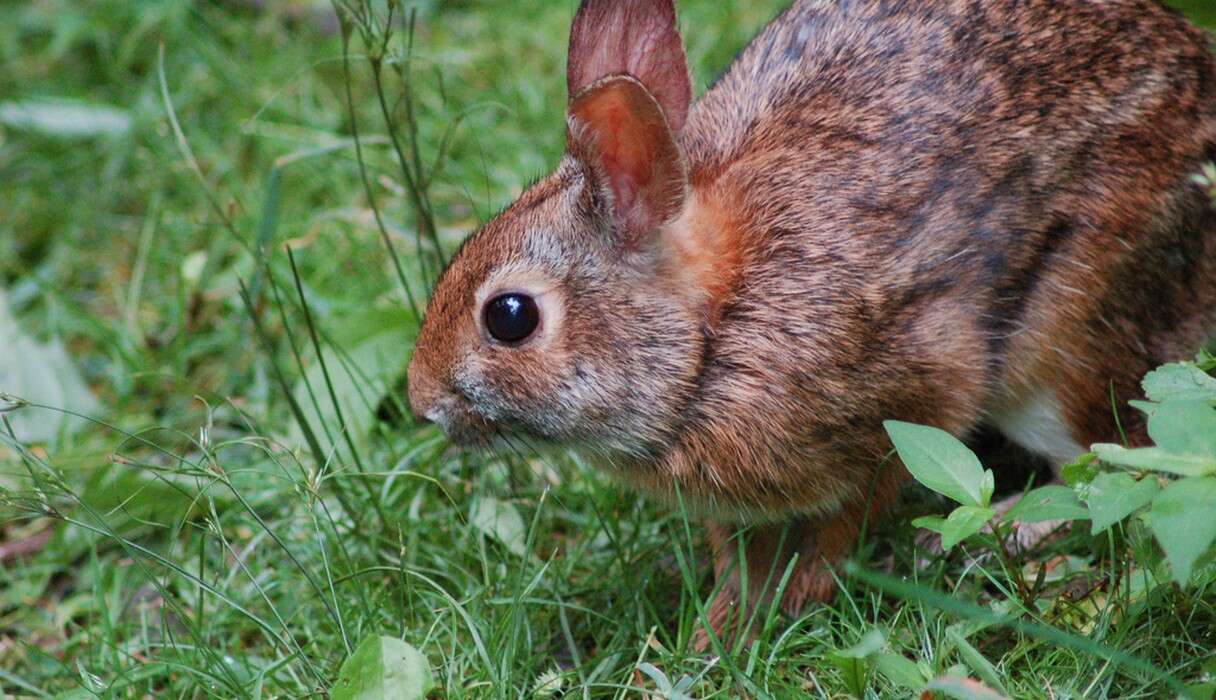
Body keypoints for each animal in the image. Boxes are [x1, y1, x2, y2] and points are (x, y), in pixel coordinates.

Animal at [408, 0, 1216, 645]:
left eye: (509, 316)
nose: (422, 402)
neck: (714, 331)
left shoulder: (909, 400)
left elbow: (845, 524)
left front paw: (798, 598)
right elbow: (740, 559)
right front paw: (717, 632)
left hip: (1066, 345)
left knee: (1114, 464)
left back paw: (1009, 532)